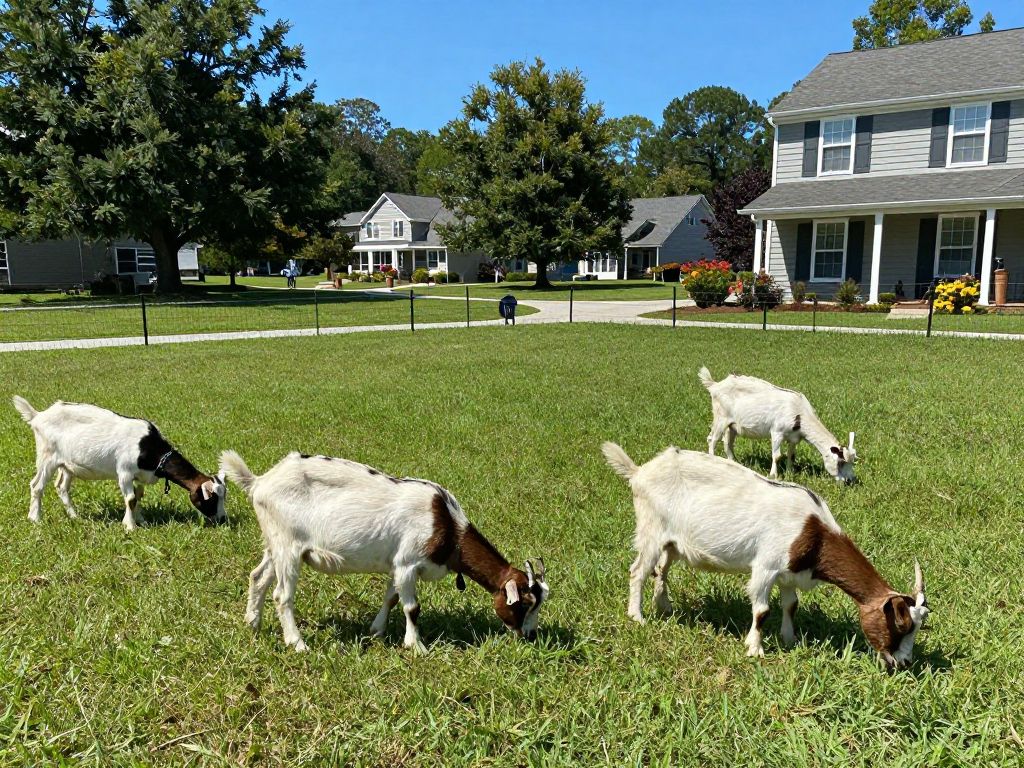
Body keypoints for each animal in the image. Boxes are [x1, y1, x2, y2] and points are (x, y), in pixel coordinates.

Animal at [13, 396, 226, 531]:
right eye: (212, 498)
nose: (223, 519)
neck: (148, 446)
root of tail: (37, 416)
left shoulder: (139, 475)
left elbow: (138, 496)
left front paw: (142, 521)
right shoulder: (124, 472)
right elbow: (130, 499)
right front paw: (130, 526)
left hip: (67, 464)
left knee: (61, 487)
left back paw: (74, 516)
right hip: (46, 456)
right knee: (37, 486)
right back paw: (35, 518)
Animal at [218, 450, 549, 653]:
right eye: (523, 603)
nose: (530, 636)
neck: (446, 523)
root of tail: (259, 482)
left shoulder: (396, 566)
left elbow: (391, 597)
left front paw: (376, 631)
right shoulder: (408, 562)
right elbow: (411, 607)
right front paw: (416, 646)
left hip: (274, 542)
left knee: (258, 577)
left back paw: (253, 624)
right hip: (288, 546)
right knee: (281, 595)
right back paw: (296, 643)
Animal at [602, 442, 928, 668]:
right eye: (900, 626)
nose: (904, 663)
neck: (814, 531)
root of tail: (639, 472)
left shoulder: (789, 573)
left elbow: (791, 605)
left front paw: (790, 639)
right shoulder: (765, 566)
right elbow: (761, 610)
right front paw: (755, 648)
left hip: (672, 541)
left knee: (662, 569)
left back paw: (665, 607)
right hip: (651, 529)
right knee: (639, 570)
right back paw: (637, 617)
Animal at [699, 366, 857, 484]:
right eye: (840, 462)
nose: (849, 480)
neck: (800, 413)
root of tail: (715, 385)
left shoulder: (794, 437)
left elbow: (791, 455)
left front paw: (789, 472)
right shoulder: (776, 432)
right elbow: (777, 455)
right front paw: (774, 475)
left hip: (732, 425)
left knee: (728, 443)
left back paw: (734, 463)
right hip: (720, 417)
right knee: (712, 439)